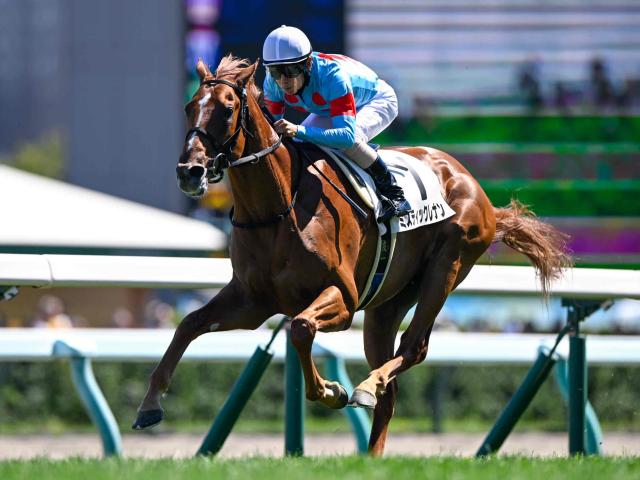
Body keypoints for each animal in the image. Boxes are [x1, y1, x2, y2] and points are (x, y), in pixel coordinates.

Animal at [133, 55, 572, 455]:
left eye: (226, 108)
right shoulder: (252, 301)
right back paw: (371, 449)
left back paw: (364, 387)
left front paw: (331, 390)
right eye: (190, 106)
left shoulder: (342, 298)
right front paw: (149, 405)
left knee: (414, 347)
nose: (189, 171)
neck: (278, 208)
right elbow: (189, 323)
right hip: (387, 302)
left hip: (447, 265)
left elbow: (300, 328)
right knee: (390, 392)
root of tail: (472, 185)